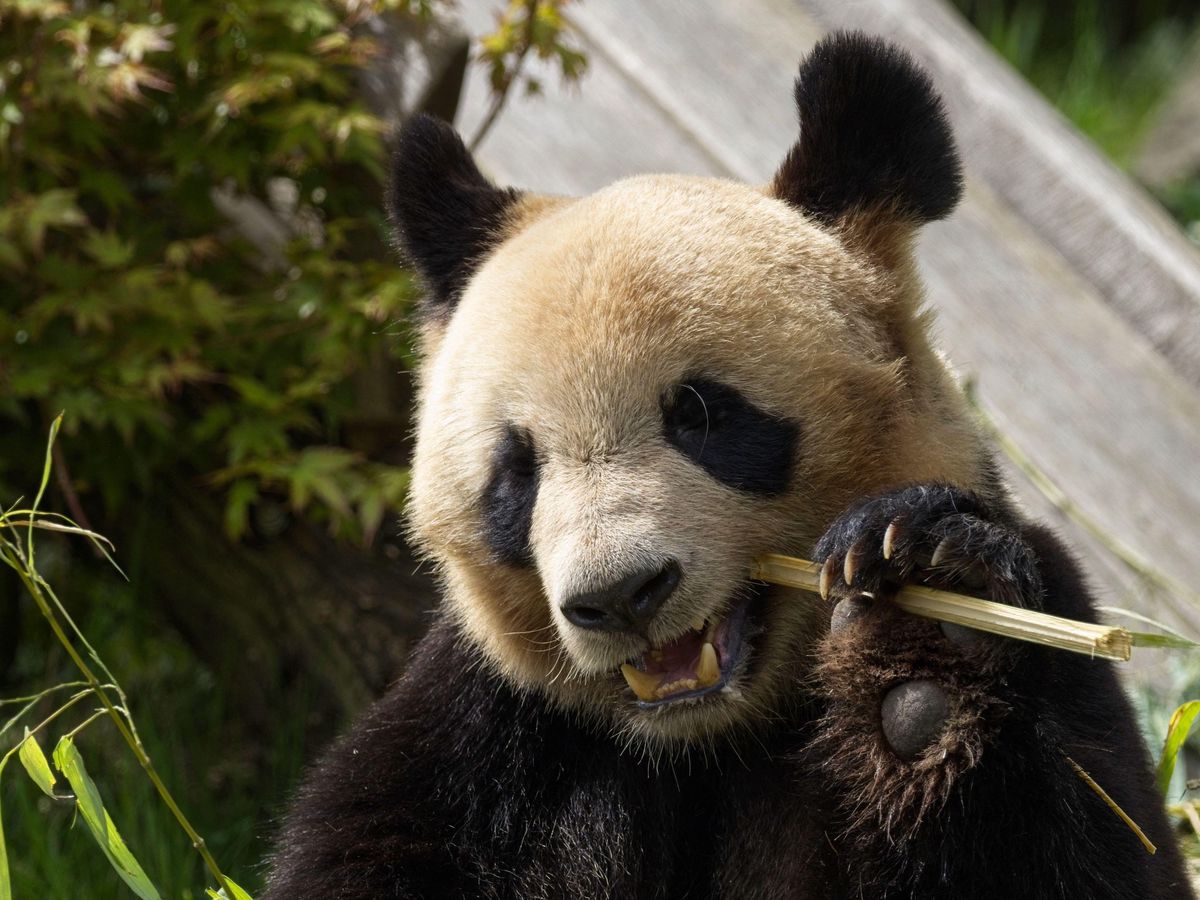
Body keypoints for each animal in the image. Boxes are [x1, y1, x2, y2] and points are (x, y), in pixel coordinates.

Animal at [263, 32, 1192, 899]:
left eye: (702, 417)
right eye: (515, 472)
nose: (619, 596)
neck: (704, 738)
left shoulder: (1064, 644)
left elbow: (1096, 849)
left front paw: (930, 604)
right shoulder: (486, 729)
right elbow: (368, 845)